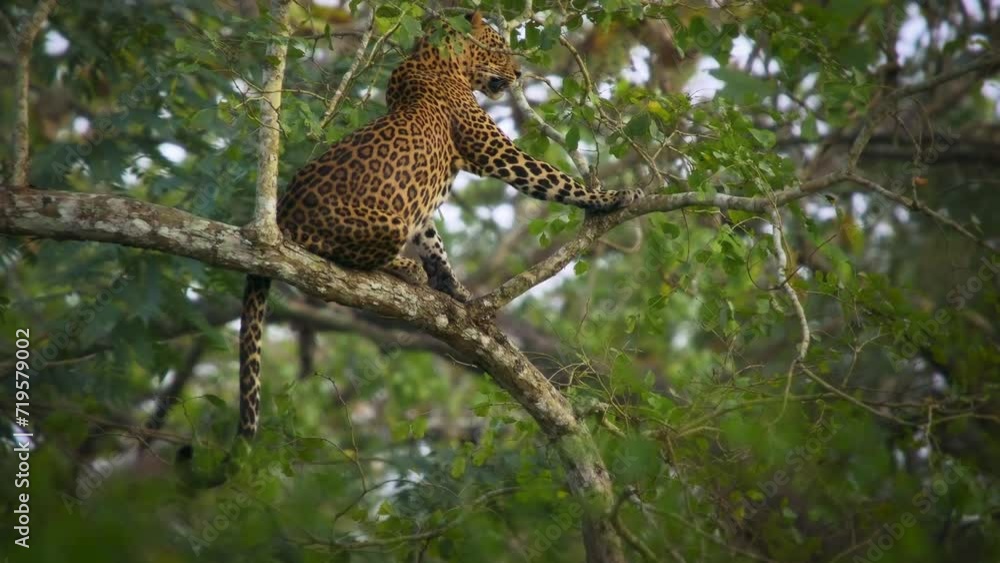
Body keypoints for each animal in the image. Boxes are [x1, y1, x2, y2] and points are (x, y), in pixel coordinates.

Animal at [178, 11, 639, 485]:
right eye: (497, 48)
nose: (518, 74)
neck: (438, 60)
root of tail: (280, 215)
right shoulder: (494, 151)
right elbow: (552, 177)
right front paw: (612, 197)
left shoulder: (425, 213)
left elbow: (434, 242)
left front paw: (455, 290)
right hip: (379, 224)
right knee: (337, 257)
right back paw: (404, 269)